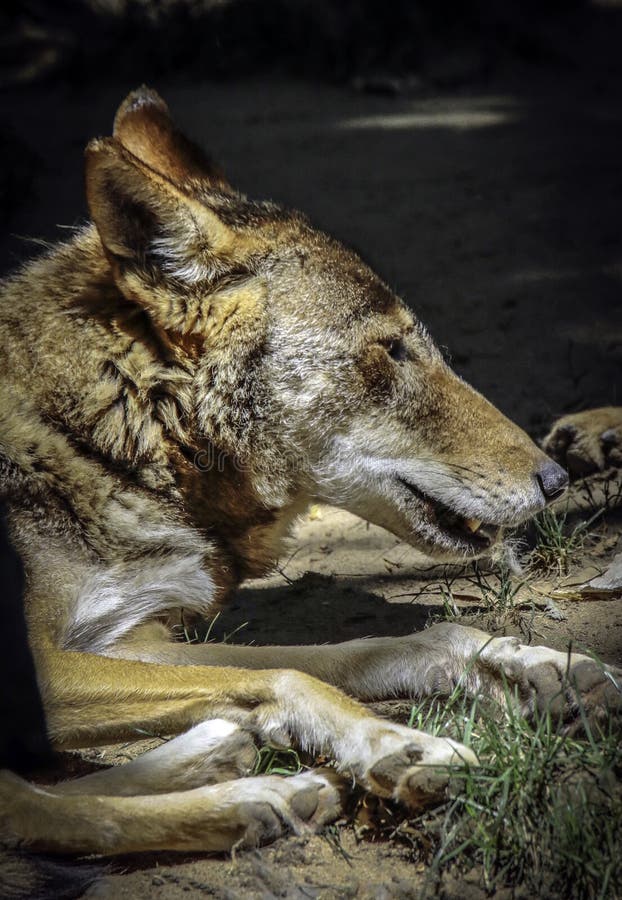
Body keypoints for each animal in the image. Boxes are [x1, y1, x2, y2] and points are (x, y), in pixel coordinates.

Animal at [1, 87, 620, 856]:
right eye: (392, 349)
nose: (557, 481)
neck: (105, 437)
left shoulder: (127, 640)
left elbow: (378, 645)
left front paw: (535, 666)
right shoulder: (43, 664)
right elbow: (290, 673)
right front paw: (396, 744)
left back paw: (232, 763)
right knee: (32, 809)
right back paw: (253, 794)